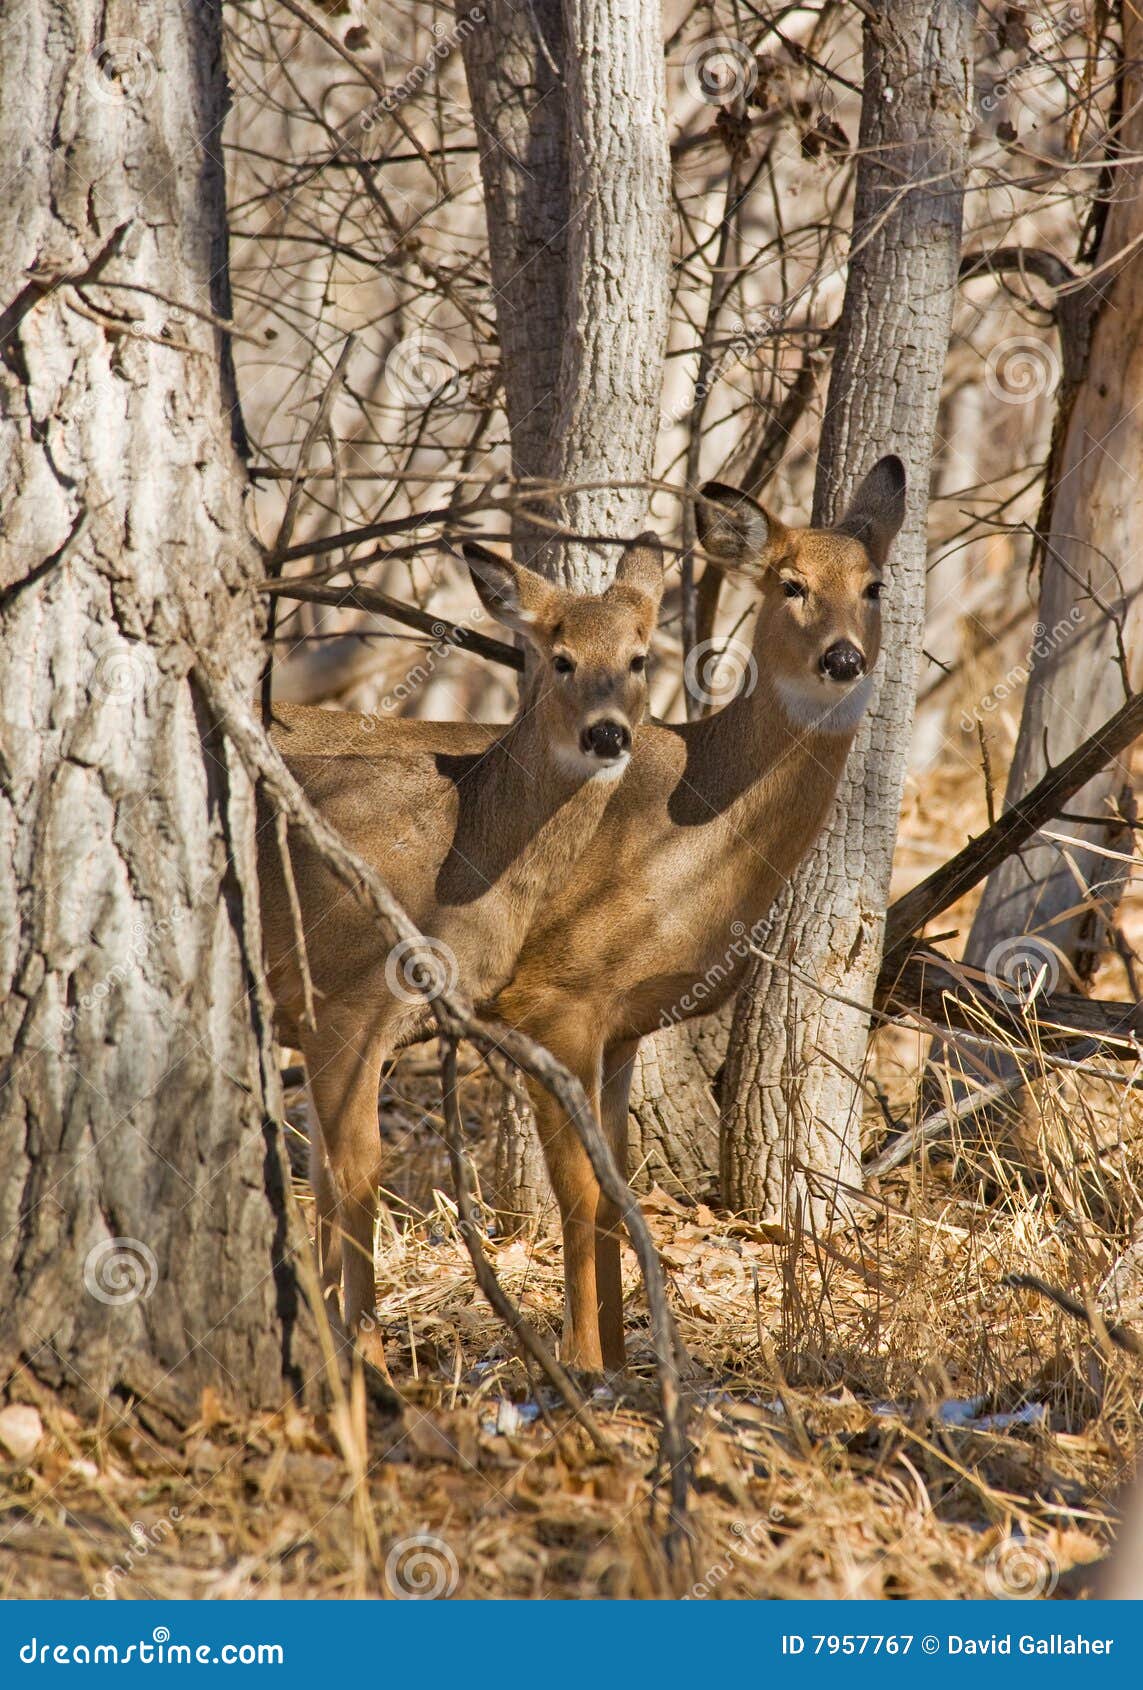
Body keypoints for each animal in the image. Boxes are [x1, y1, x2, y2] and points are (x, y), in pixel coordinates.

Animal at [259, 537, 664, 1372]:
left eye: (638, 657)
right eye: (560, 658)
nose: (607, 734)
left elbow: (325, 1174)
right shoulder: (340, 1001)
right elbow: (356, 1174)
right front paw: (364, 1359)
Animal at [485, 457, 906, 1373]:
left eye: (873, 585)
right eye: (790, 584)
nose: (843, 657)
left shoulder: (619, 1024)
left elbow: (617, 1190)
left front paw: (623, 1354)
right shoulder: (548, 997)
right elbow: (580, 1192)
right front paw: (584, 1365)